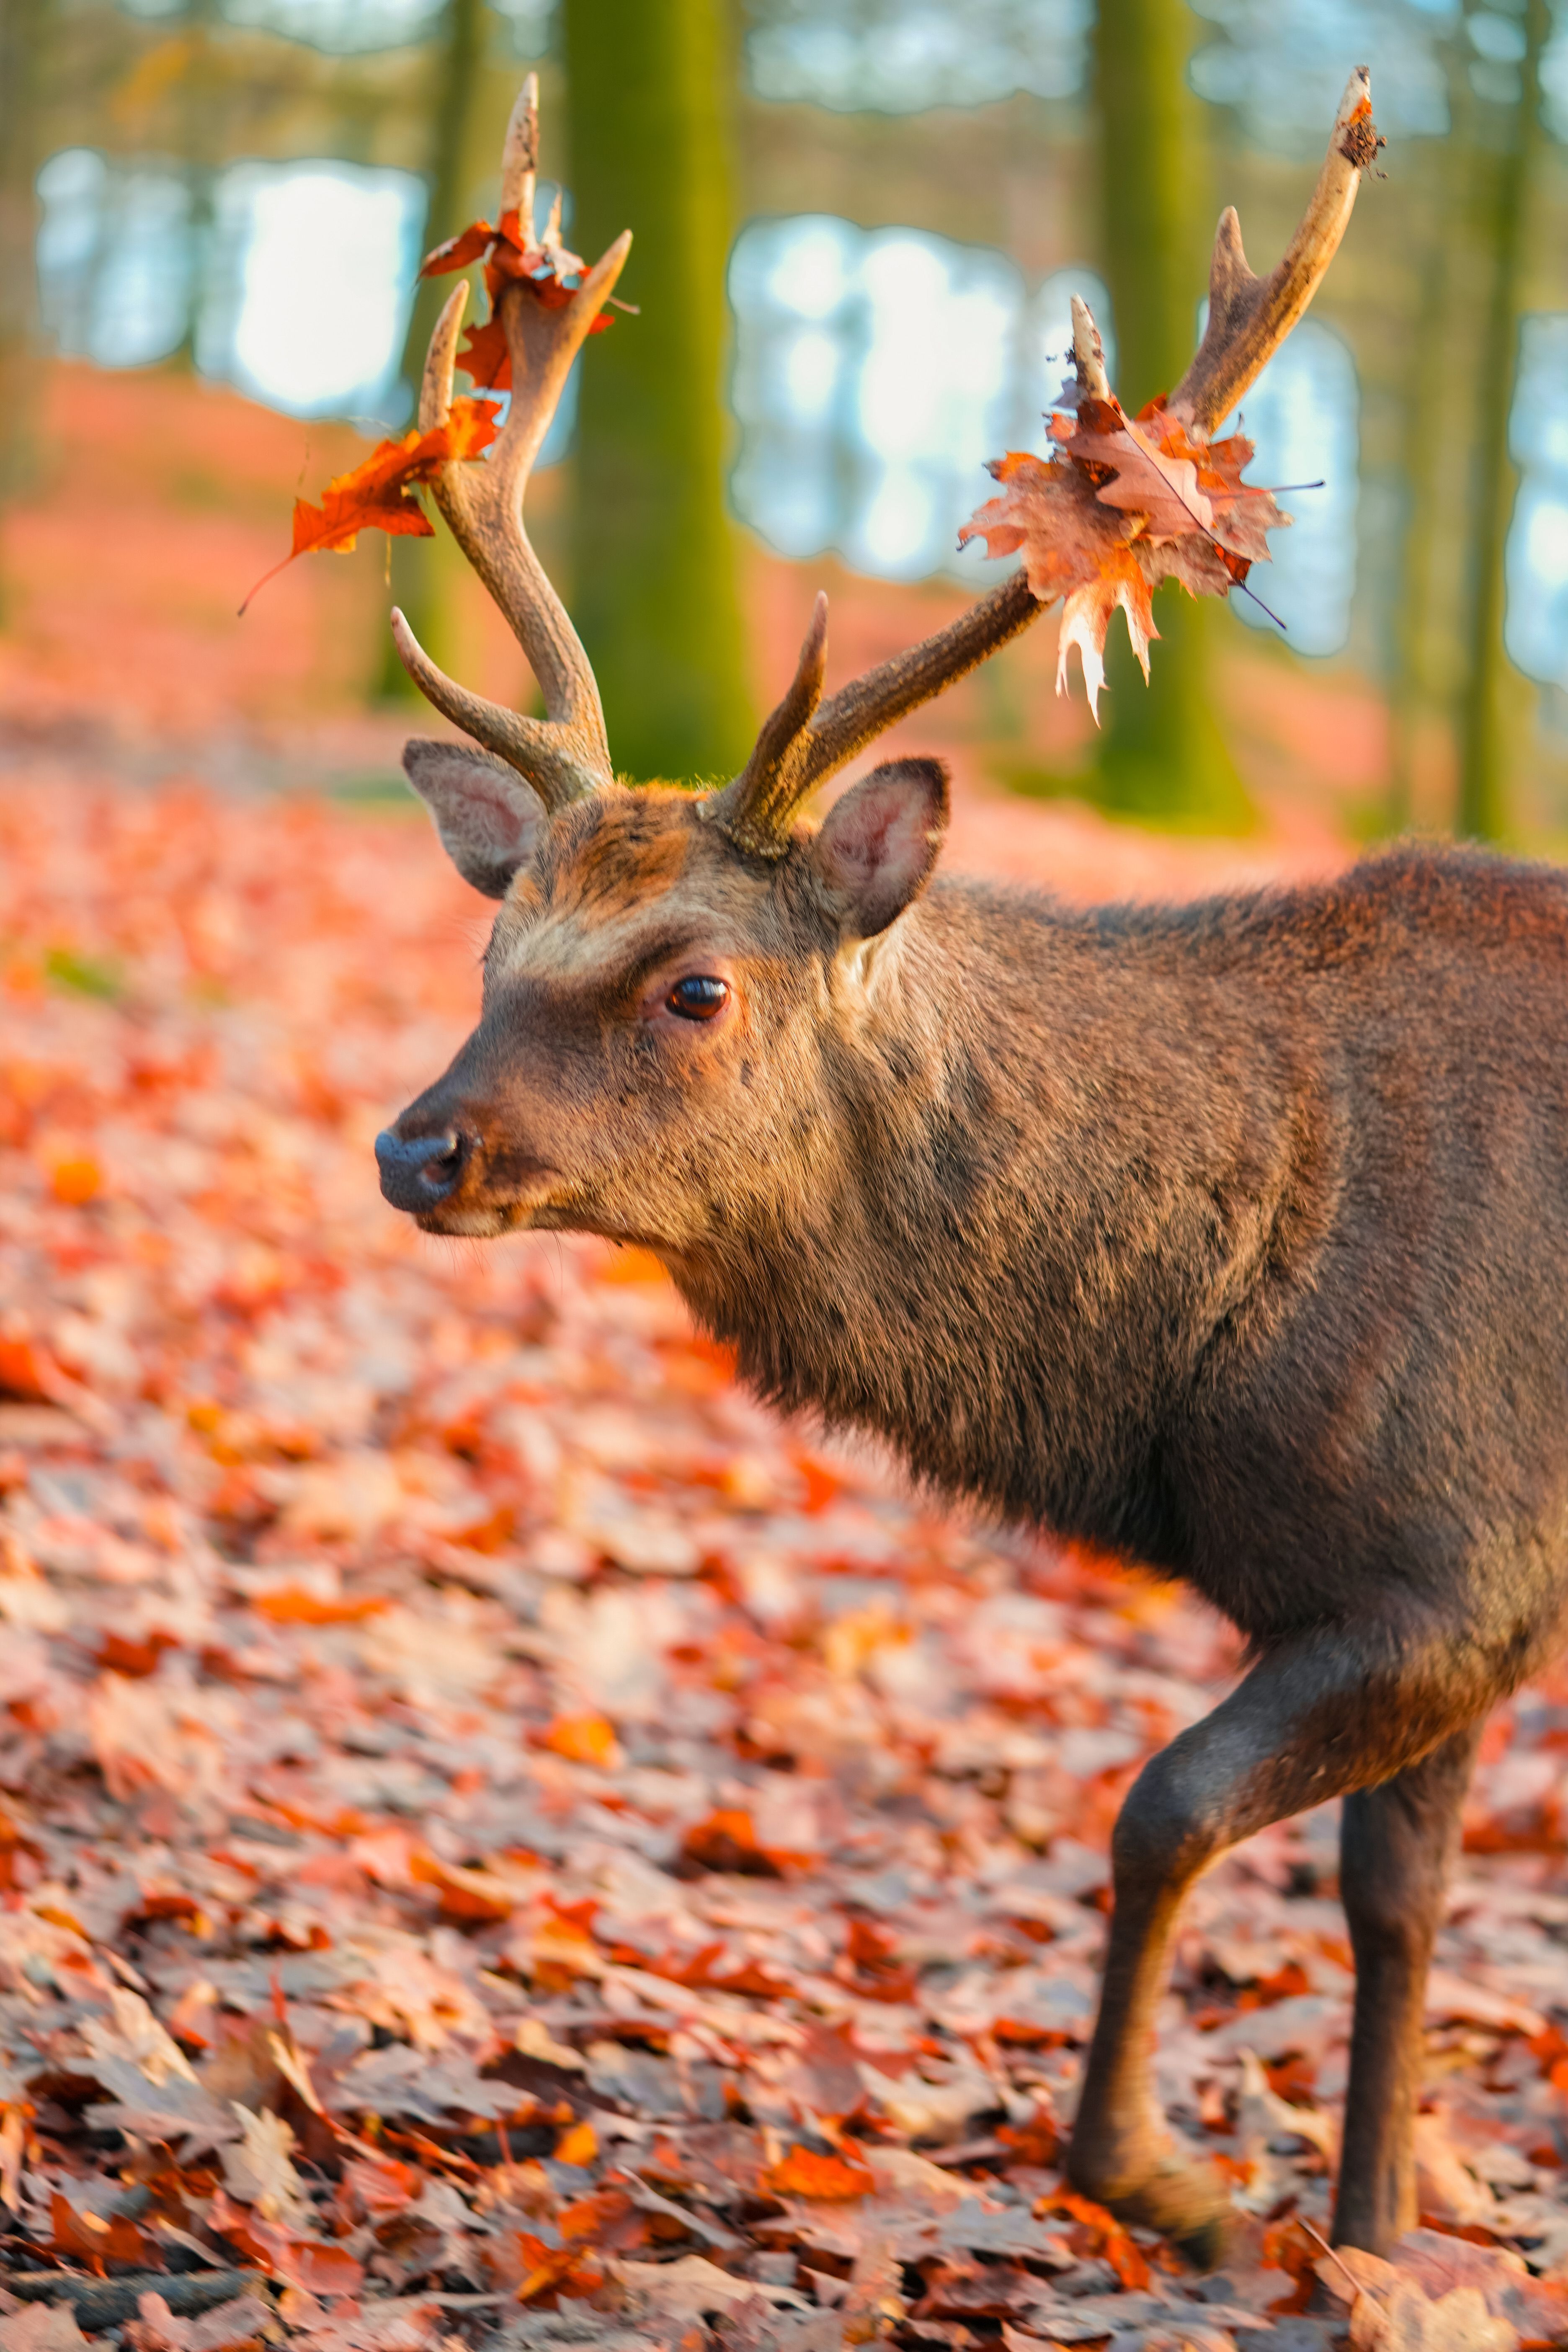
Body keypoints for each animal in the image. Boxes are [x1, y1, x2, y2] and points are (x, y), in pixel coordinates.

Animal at [373, 69, 1568, 2268]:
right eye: (496, 952)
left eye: (694, 985)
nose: (421, 1145)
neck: (1182, 1392)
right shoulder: (1445, 1606)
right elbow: (1400, 1906)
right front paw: (1368, 2238)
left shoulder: (1467, 1565)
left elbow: (1166, 1807)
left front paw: (1166, 2179)